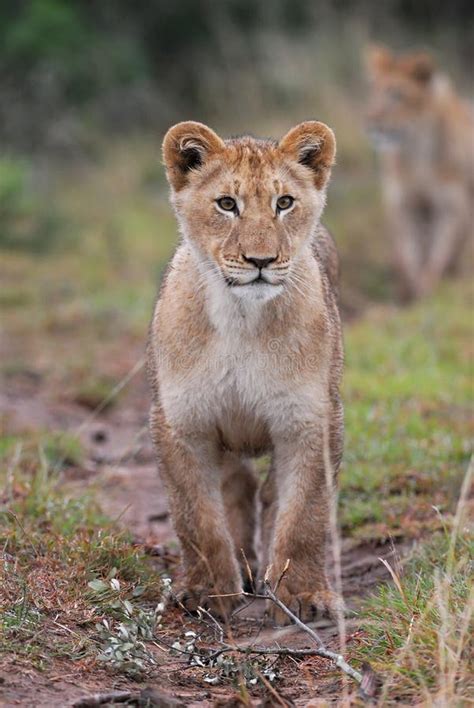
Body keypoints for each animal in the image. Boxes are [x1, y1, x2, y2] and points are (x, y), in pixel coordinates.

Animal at [147, 121, 344, 623]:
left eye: (284, 203)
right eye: (226, 204)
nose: (260, 261)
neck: (241, 319)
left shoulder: (310, 419)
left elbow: (305, 515)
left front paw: (303, 595)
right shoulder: (182, 422)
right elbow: (196, 517)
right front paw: (207, 592)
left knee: (269, 494)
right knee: (237, 488)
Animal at [365, 45, 473, 300]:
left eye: (398, 95)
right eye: (373, 91)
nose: (371, 121)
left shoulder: (451, 207)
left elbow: (438, 256)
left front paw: (428, 291)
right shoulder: (404, 205)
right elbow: (409, 256)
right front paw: (412, 292)